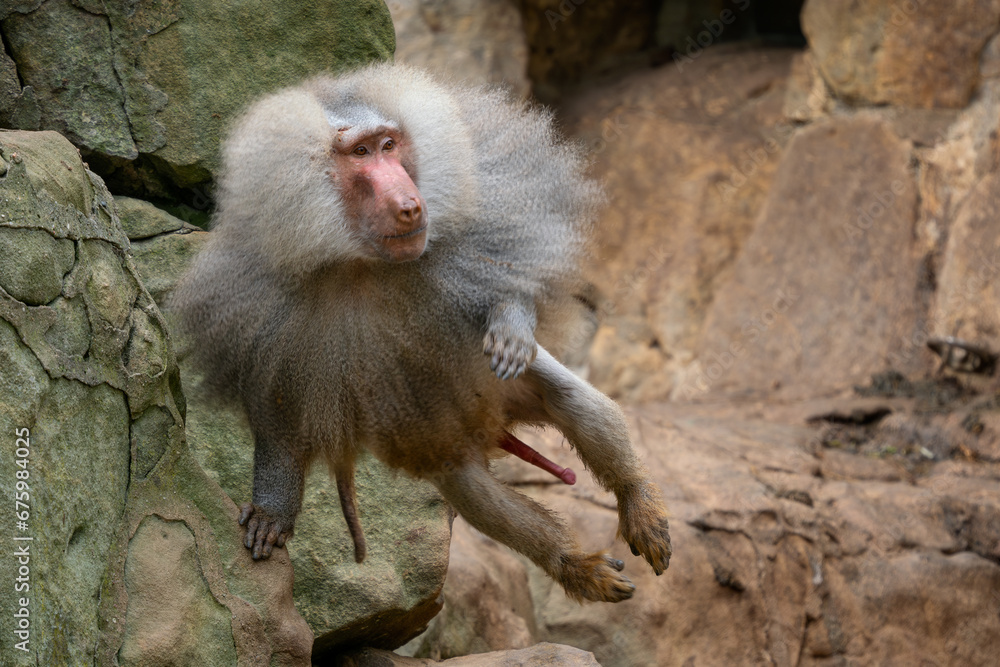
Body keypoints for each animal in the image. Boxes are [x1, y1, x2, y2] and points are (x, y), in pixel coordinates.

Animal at [172, 62, 671, 603]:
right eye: (360, 153)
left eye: (389, 145)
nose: (411, 205)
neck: (364, 262)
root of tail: (493, 424)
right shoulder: (257, 299)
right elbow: (278, 409)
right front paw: (272, 511)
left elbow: (506, 271)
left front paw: (511, 327)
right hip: (448, 440)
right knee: (473, 490)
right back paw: (575, 565)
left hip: (510, 388)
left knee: (572, 401)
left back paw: (640, 506)